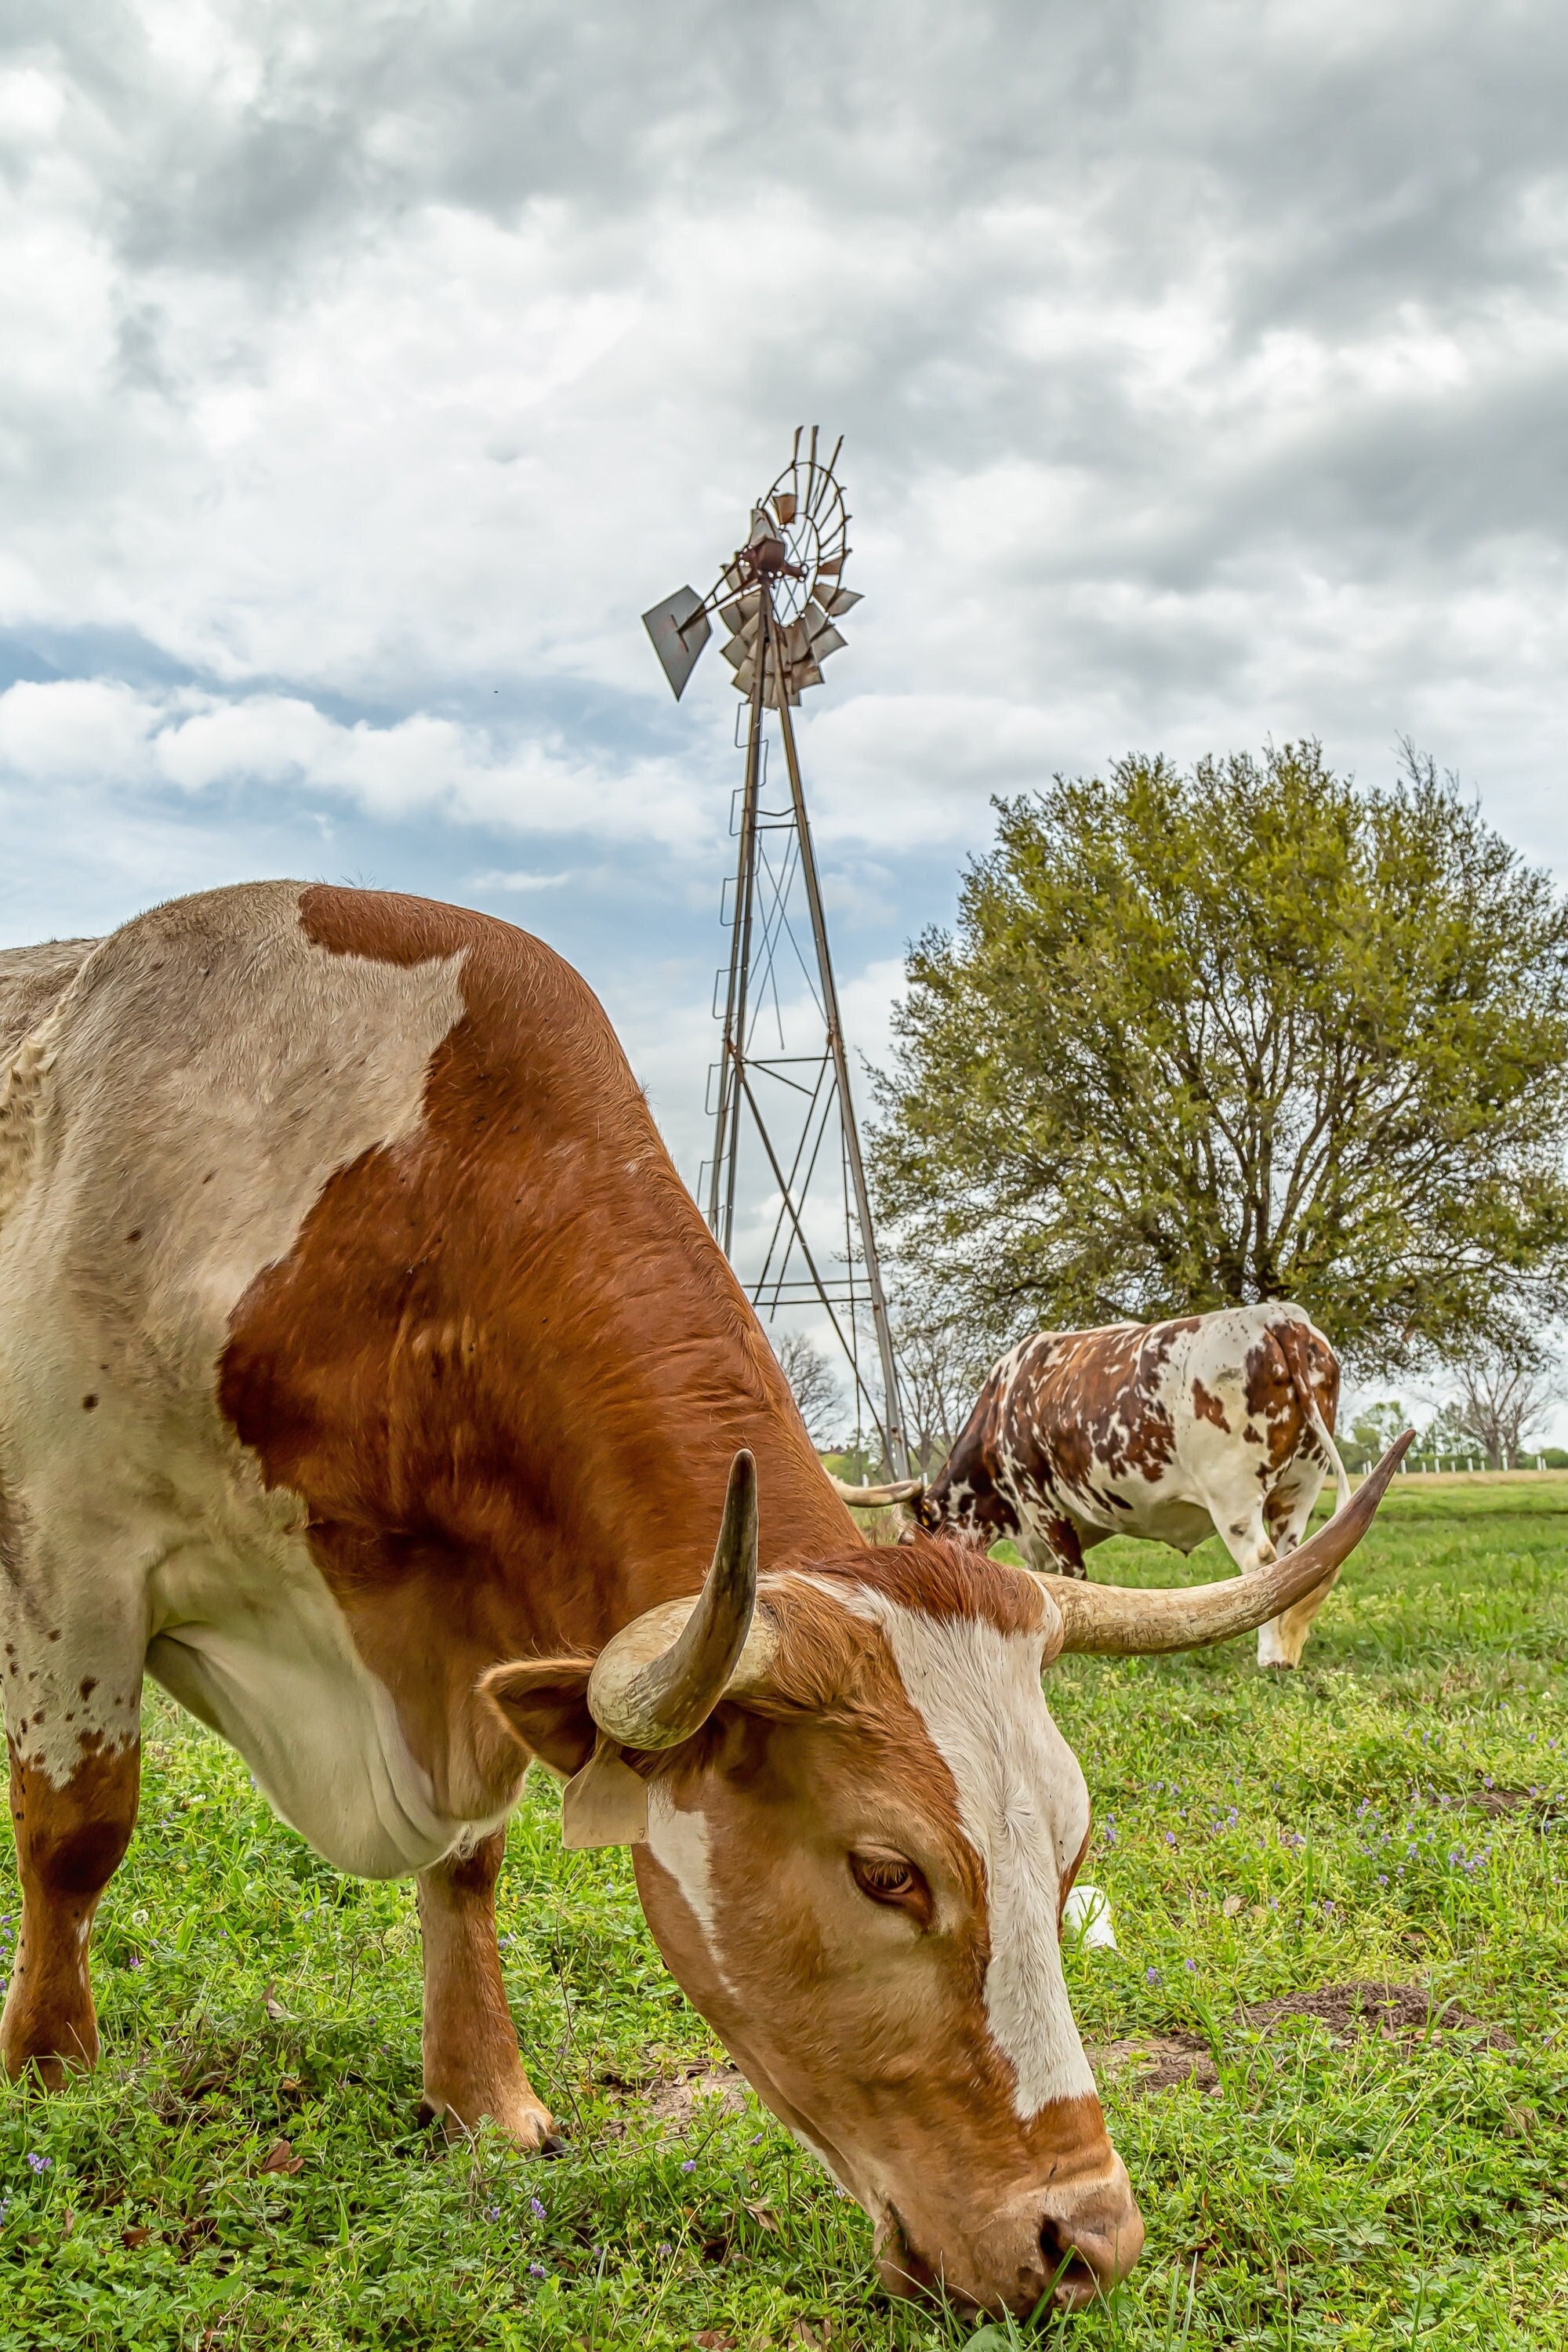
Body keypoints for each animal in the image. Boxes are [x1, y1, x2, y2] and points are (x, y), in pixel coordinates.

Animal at [837, 1305, 1352, 1670]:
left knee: (1261, 1566)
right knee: (1296, 1560)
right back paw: (1285, 1652)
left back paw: (1268, 1656)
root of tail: (1279, 1318)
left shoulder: (1041, 1503)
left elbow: (1072, 1576)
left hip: (1234, 1495)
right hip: (1300, 1486)